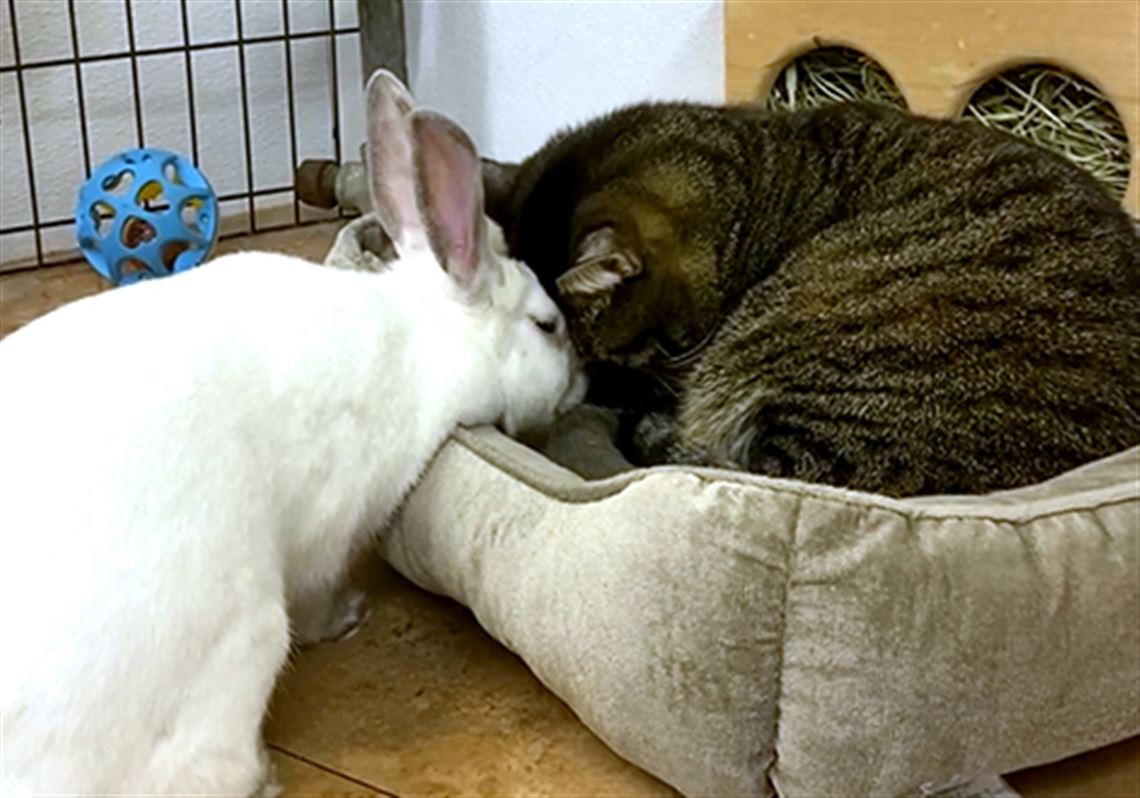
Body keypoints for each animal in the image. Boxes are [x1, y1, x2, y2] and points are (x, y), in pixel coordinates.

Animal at [0, 70, 585, 796]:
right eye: (547, 325)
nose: (582, 382)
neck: (421, 335)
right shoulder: (329, 530)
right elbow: (318, 589)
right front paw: (347, 617)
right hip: (243, 636)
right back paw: (263, 775)